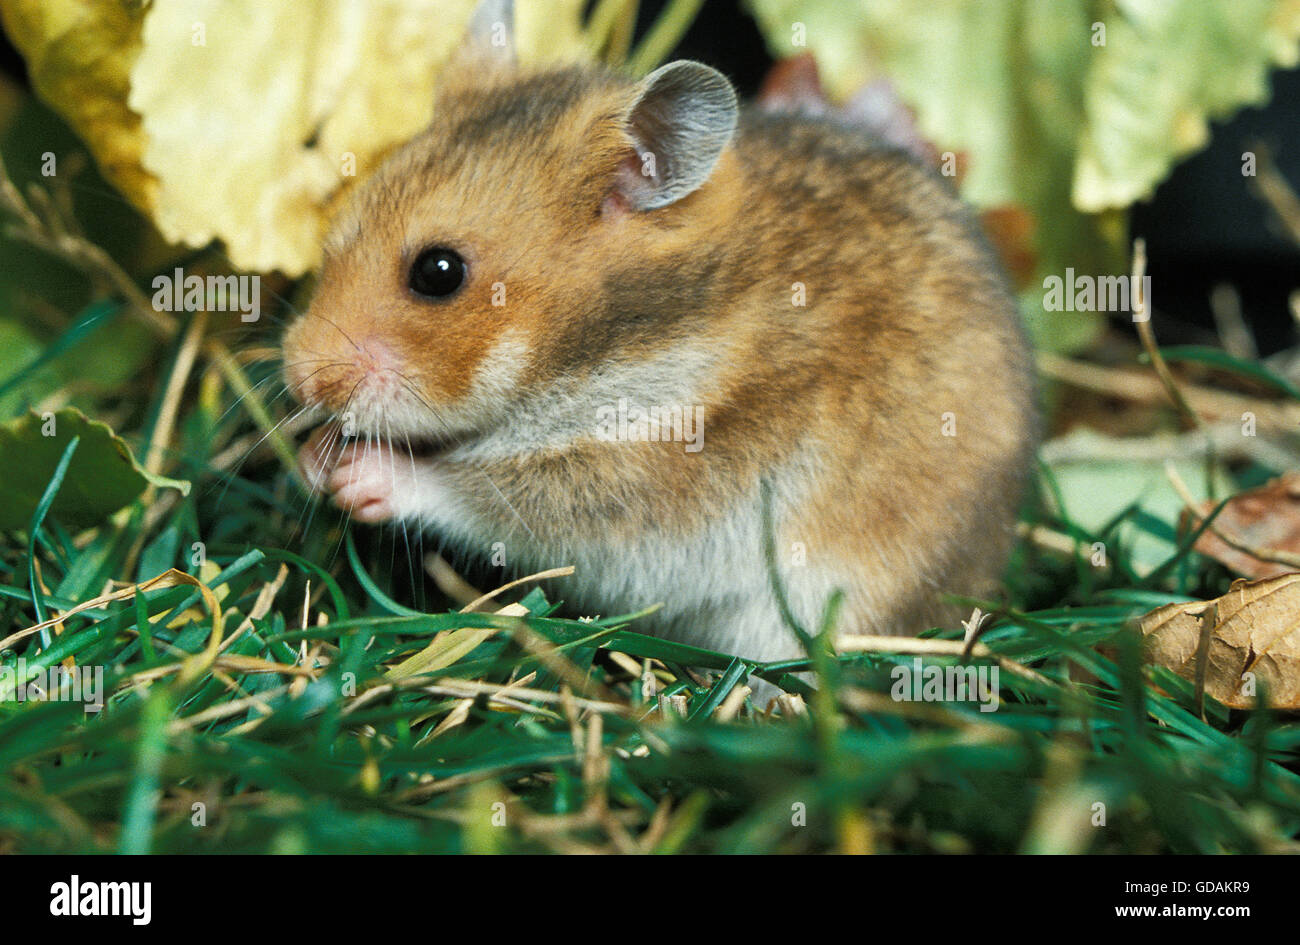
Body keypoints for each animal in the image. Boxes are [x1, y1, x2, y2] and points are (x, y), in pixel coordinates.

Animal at [282, 0, 1038, 670]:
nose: (297, 376)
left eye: (438, 272)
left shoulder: (633, 485)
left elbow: (476, 492)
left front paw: (352, 472)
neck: (628, 342)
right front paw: (313, 458)